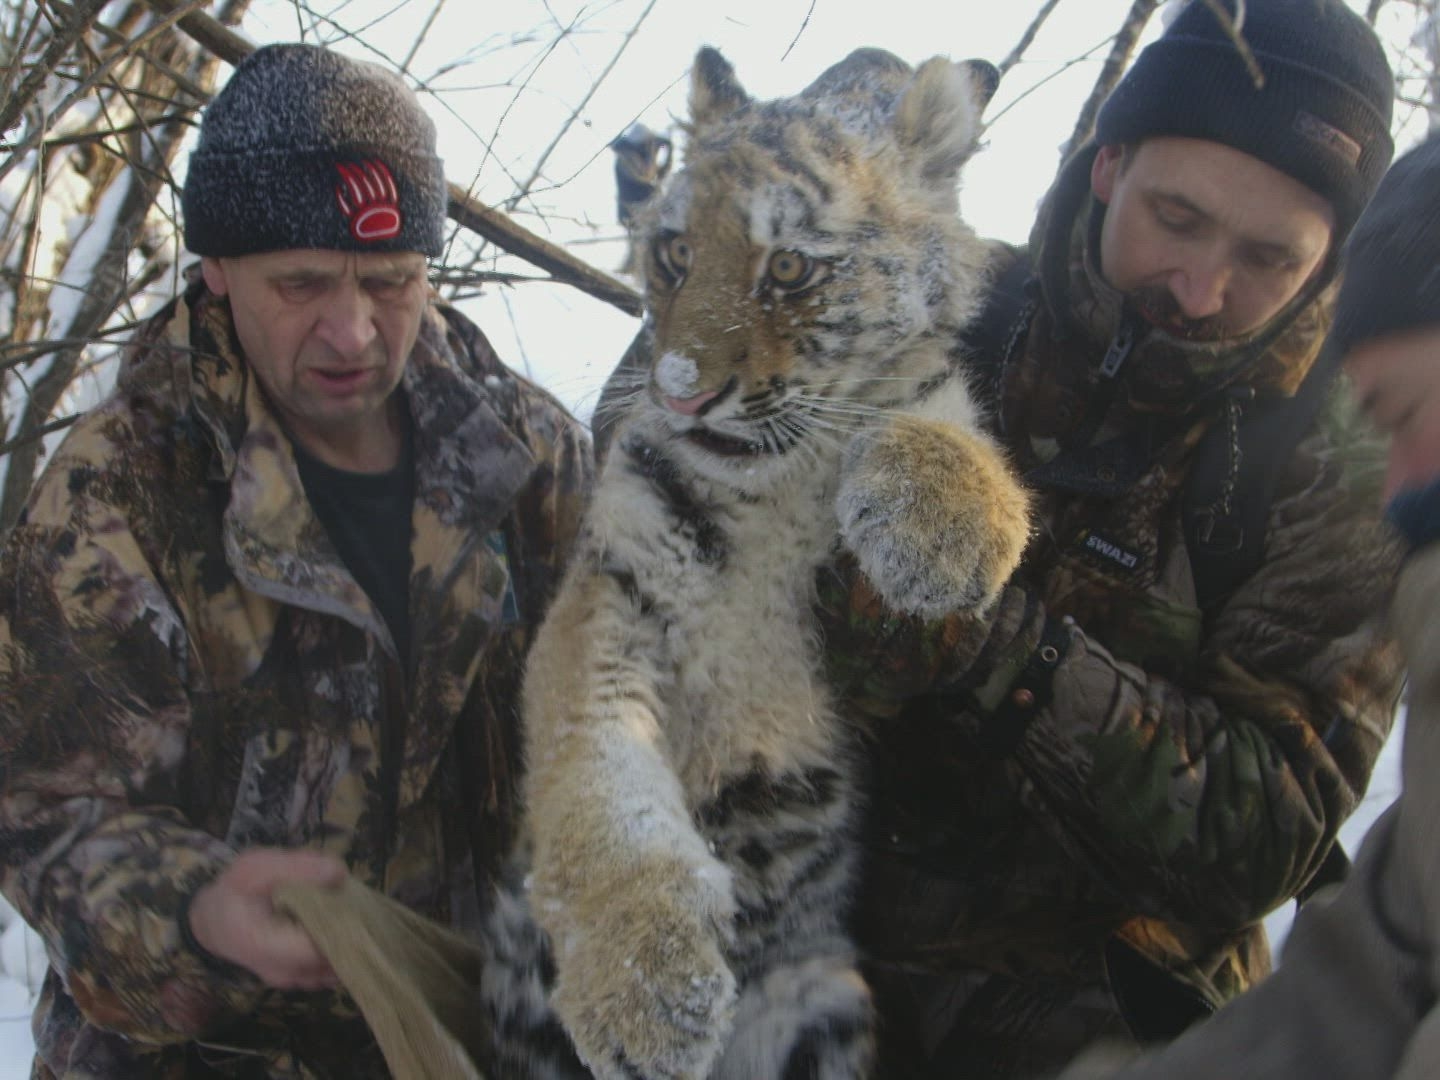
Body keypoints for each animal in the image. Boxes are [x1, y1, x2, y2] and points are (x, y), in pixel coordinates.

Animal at [518, 45, 1031, 1080]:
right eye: (675, 254)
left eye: (788, 266)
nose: (682, 394)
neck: (772, 489)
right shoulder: (612, 595)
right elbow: (599, 787)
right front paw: (645, 987)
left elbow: (942, 408)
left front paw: (944, 528)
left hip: (821, 998)